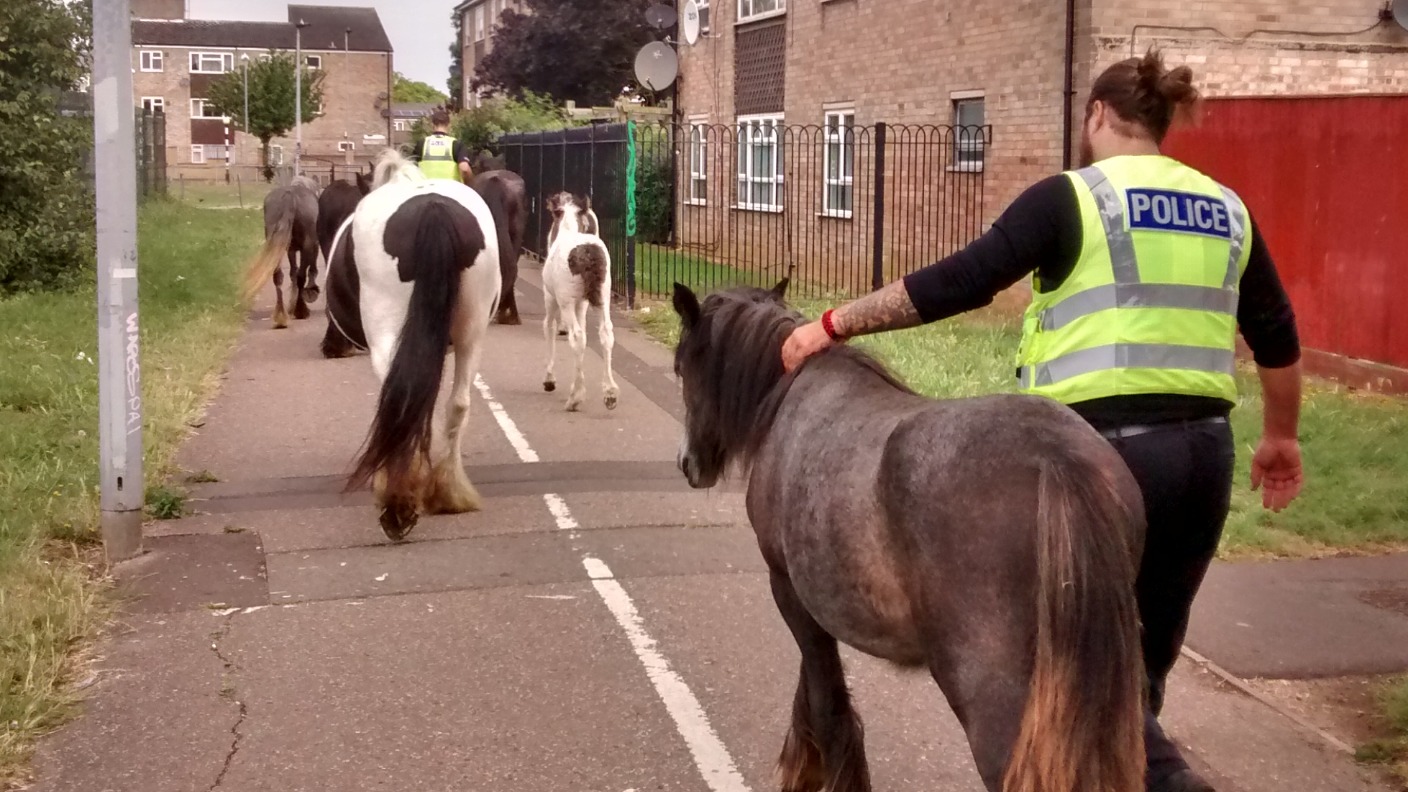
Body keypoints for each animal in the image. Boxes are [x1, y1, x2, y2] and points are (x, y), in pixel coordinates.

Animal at [243, 175, 321, 328]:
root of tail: (290, 196)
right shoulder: (311, 244)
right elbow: (308, 270)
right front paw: (311, 291)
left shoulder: (290, 249)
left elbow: (292, 273)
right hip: (306, 245)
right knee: (301, 275)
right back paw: (300, 311)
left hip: (275, 243)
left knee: (278, 275)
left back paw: (281, 316)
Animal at [343, 149, 502, 541]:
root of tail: (433, 208)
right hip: (472, 333)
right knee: (457, 404)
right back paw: (448, 492)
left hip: (385, 327)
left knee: (399, 395)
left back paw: (397, 501)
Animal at [540, 192, 618, 412]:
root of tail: (587, 251)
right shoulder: (581, 304)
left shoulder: (551, 299)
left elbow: (549, 327)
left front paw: (549, 379)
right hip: (603, 297)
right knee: (606, 334)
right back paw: (609, 392)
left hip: (565, 301)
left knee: (576, 336)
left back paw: (575, 397)